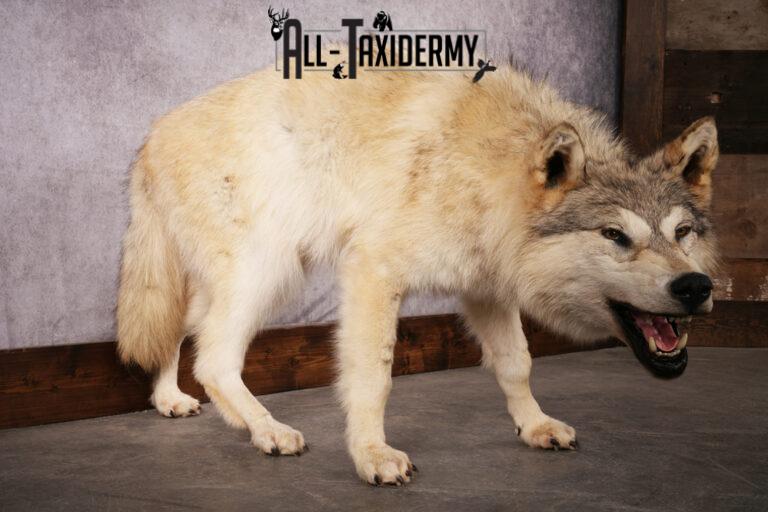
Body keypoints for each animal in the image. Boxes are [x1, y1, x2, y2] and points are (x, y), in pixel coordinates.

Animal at [116, 57, 719, 485]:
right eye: (615, 236)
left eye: (682, 233)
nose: (696, 287)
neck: (487, 167)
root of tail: (150, 137)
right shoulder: (373, 273)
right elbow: (374, 376)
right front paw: (371, 455)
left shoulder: (486, 289)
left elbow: (517, 364)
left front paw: (534, 425)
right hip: (268, 273)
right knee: (215, 358)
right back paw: (268, 430)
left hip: (237, 278)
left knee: (179, 329)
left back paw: (171, 400)